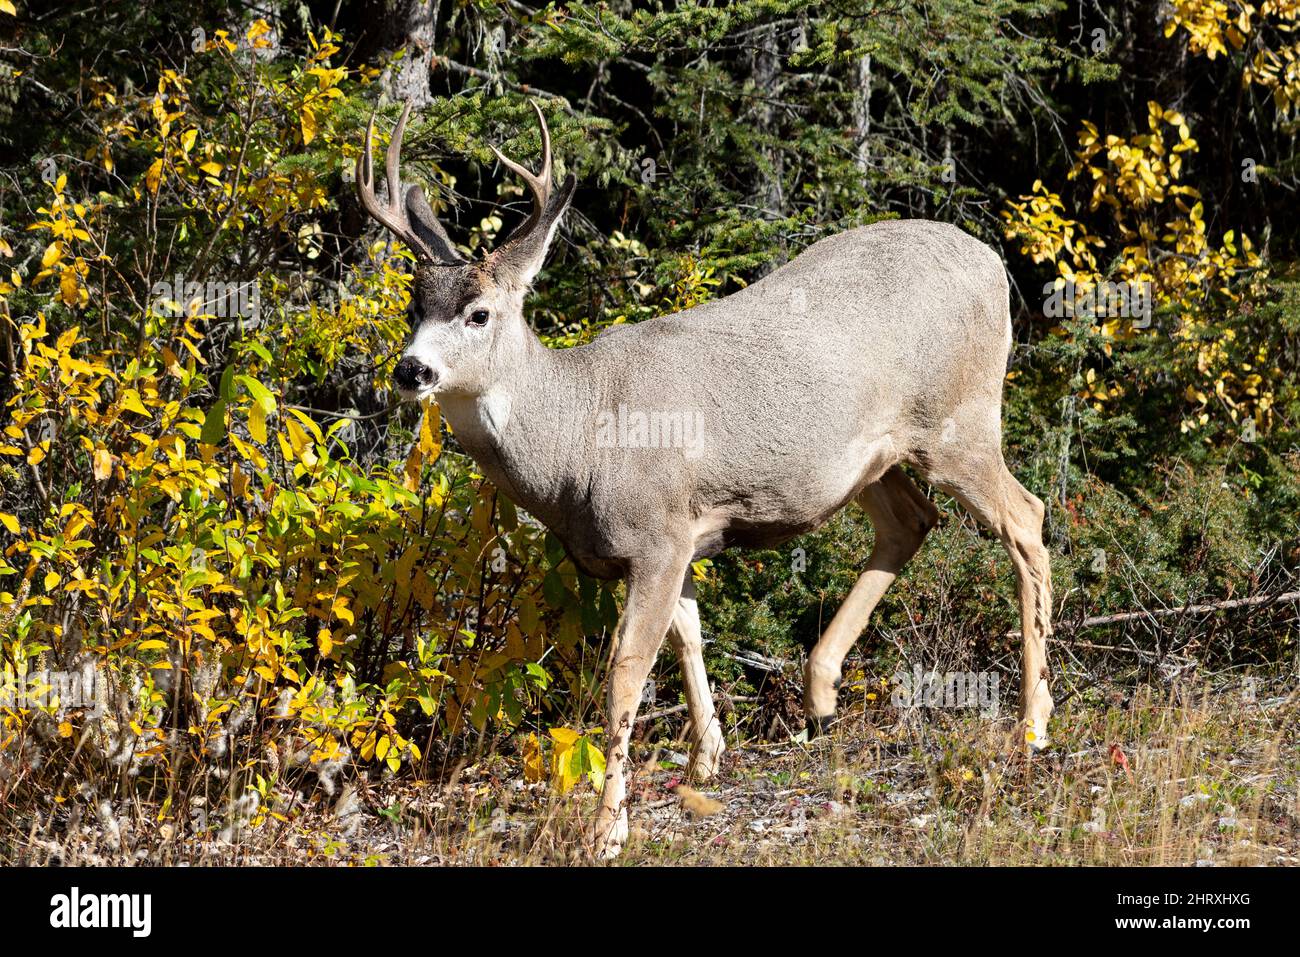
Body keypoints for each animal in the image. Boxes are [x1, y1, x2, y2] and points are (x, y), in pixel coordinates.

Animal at [355, 100, 1054, 858]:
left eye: (478, 314)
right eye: (414, 308)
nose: (411, 369)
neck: (578, 440)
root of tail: (993, 266)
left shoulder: (654, 532)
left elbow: (627, 671)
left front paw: (607, 827)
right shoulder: (681, 533)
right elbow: (688, 633)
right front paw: (706, 758)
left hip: (960, 420)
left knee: (1026, 516)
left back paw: (1033, 722)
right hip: (873, 456)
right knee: (913, 521)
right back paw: (820, 692)